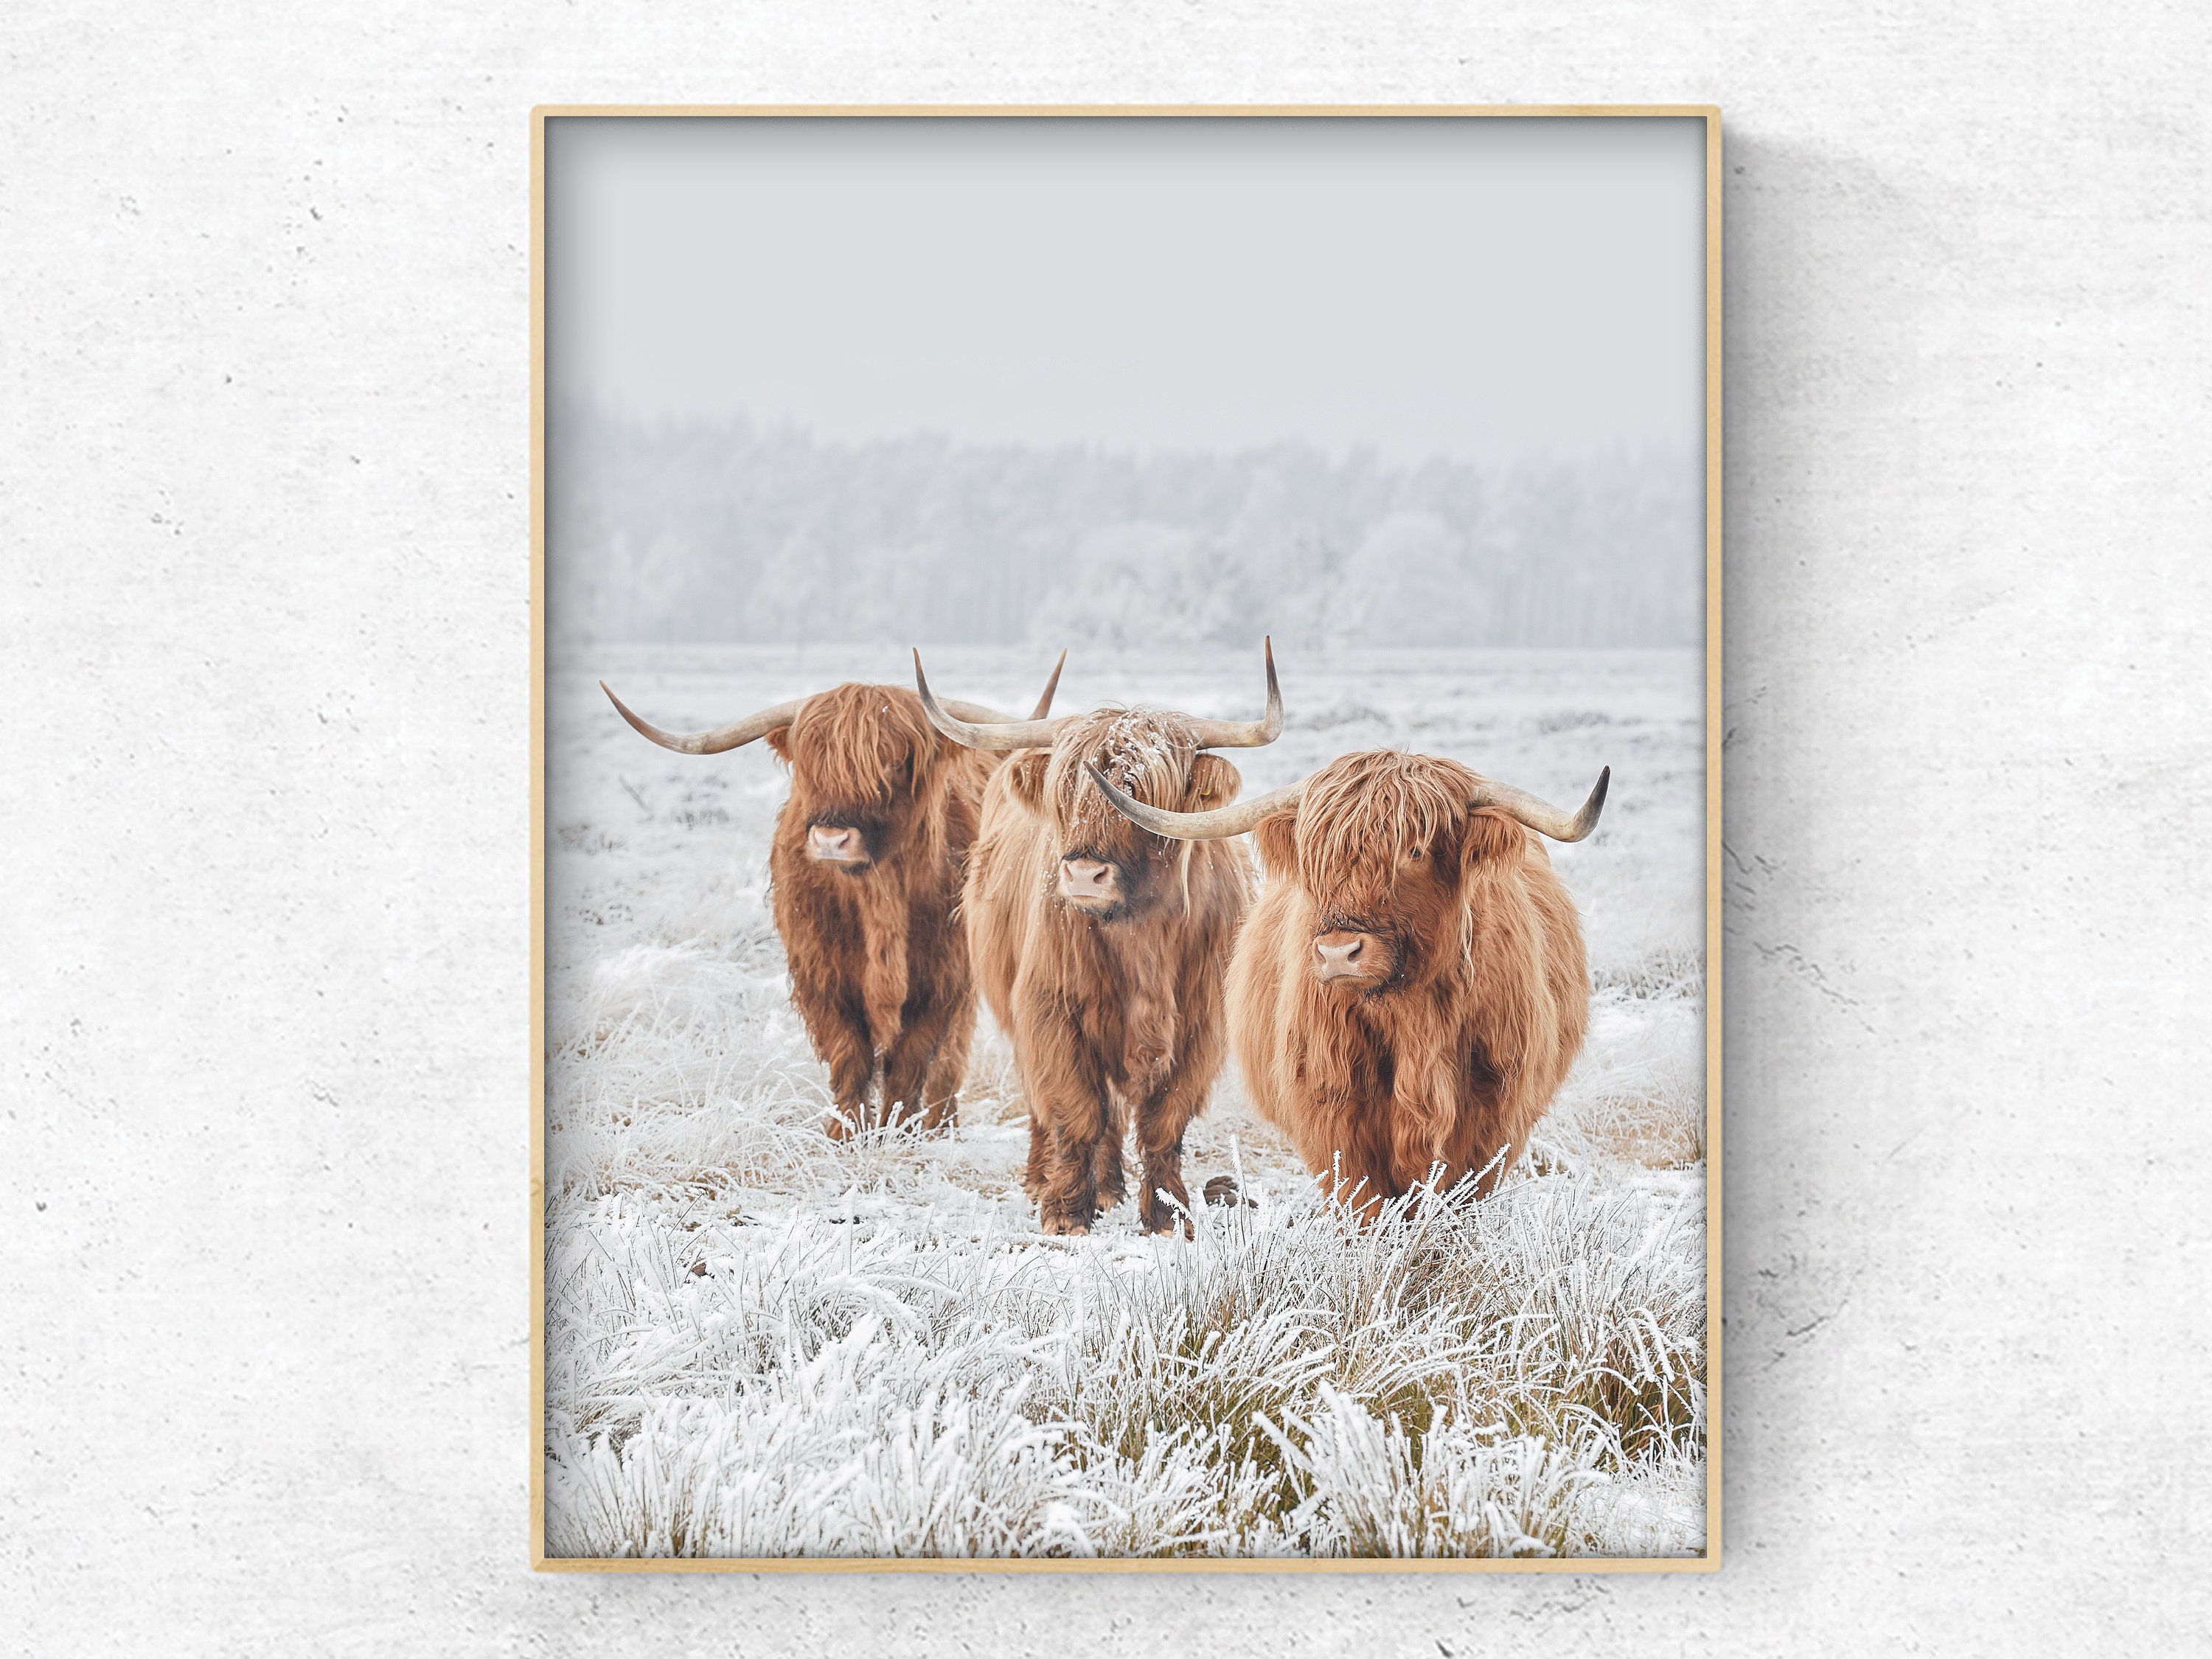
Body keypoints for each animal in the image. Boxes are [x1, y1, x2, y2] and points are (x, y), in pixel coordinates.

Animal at [600, 657, 1064, 1137]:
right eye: (811, 765)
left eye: (893, 762)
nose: (831, 839)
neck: (879, 896)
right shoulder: (822, 974)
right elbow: (849, 1054)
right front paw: (846, 1133)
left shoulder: (943, 976)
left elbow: (912, 1058)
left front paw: (900, 1130)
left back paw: (941, 1122)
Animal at [911, 644, 1285, 1235]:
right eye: (1064, 792)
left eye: (1141, 791)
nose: (1084, 874)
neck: (1142, 937)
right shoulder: (1050, 1010)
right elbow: (1077, 1111)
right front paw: (1066, 1212)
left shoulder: (1200, 1026)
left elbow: (1163, 1122)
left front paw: (1168, 1214)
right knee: (1056, 1106)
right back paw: (1052, 1180)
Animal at [1087, 748, 1609, 1214]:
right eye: (1315, 856)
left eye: (1414, 849)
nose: (1339, 952)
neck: (1412, 1021)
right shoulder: (1332, 1111)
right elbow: (1363, 1205)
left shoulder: (1492, 1116)